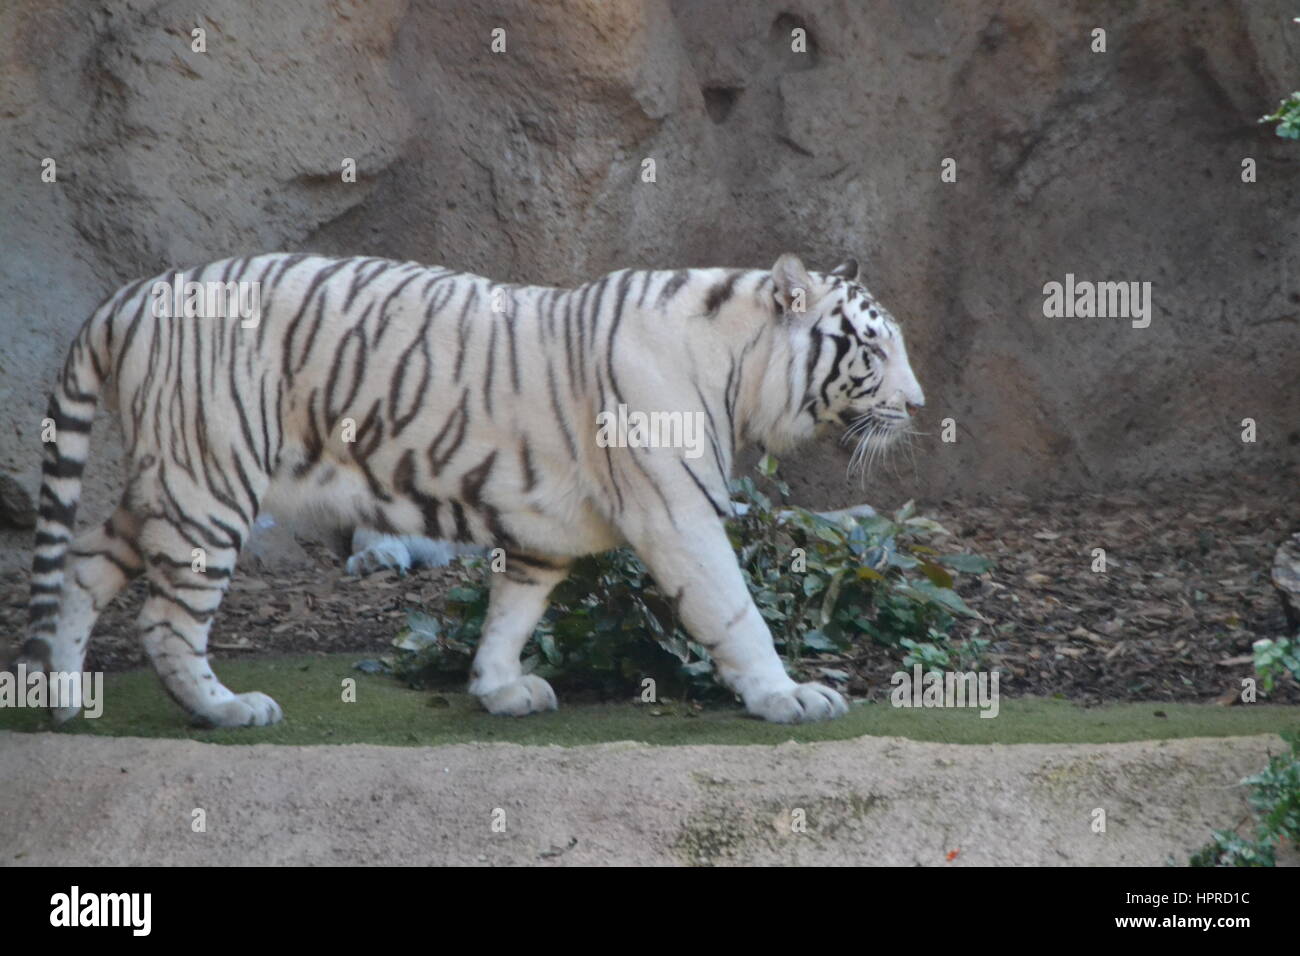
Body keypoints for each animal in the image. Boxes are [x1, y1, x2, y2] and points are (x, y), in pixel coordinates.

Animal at [21, 252, 925, 727]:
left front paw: (498, 687)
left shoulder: (540, 531)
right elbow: (736, 613)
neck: (741, 370)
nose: (918, 406)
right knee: (166, 621)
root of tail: (134, 294)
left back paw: (63, 693)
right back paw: (228, 708)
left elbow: (512, 610)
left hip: (170, 480)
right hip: (210, 482)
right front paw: (790, 694)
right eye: (874, 349)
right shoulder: (680, 517)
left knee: (85, 564)